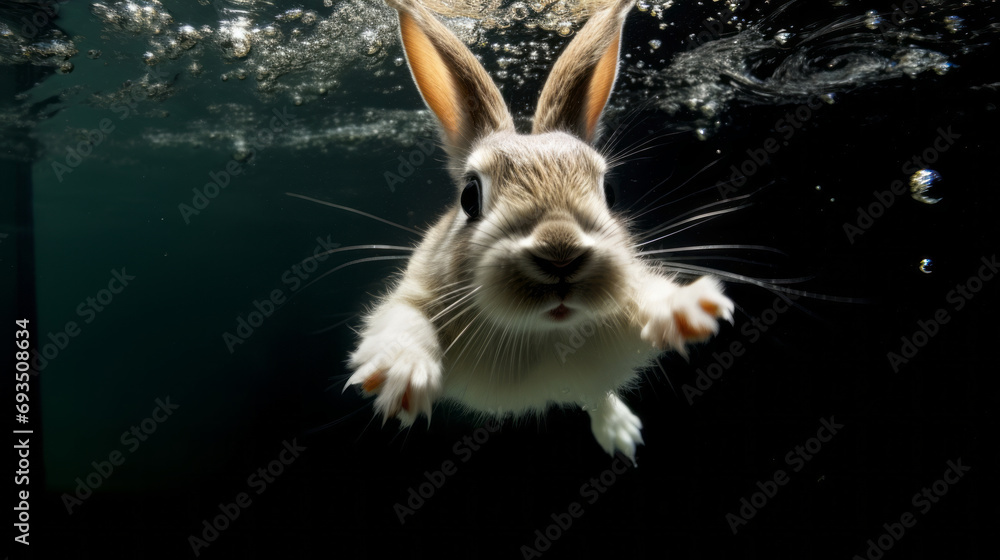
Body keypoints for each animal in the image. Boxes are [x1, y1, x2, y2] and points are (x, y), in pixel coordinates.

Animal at [345, 0, 734, 462]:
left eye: (610, 191)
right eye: (469, 196)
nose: (560, 255)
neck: (544, 332)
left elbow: (645, 293)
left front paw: (690, 309)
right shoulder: (413, 294)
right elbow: (404, 319)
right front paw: (401, 375)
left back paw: (620, 432)